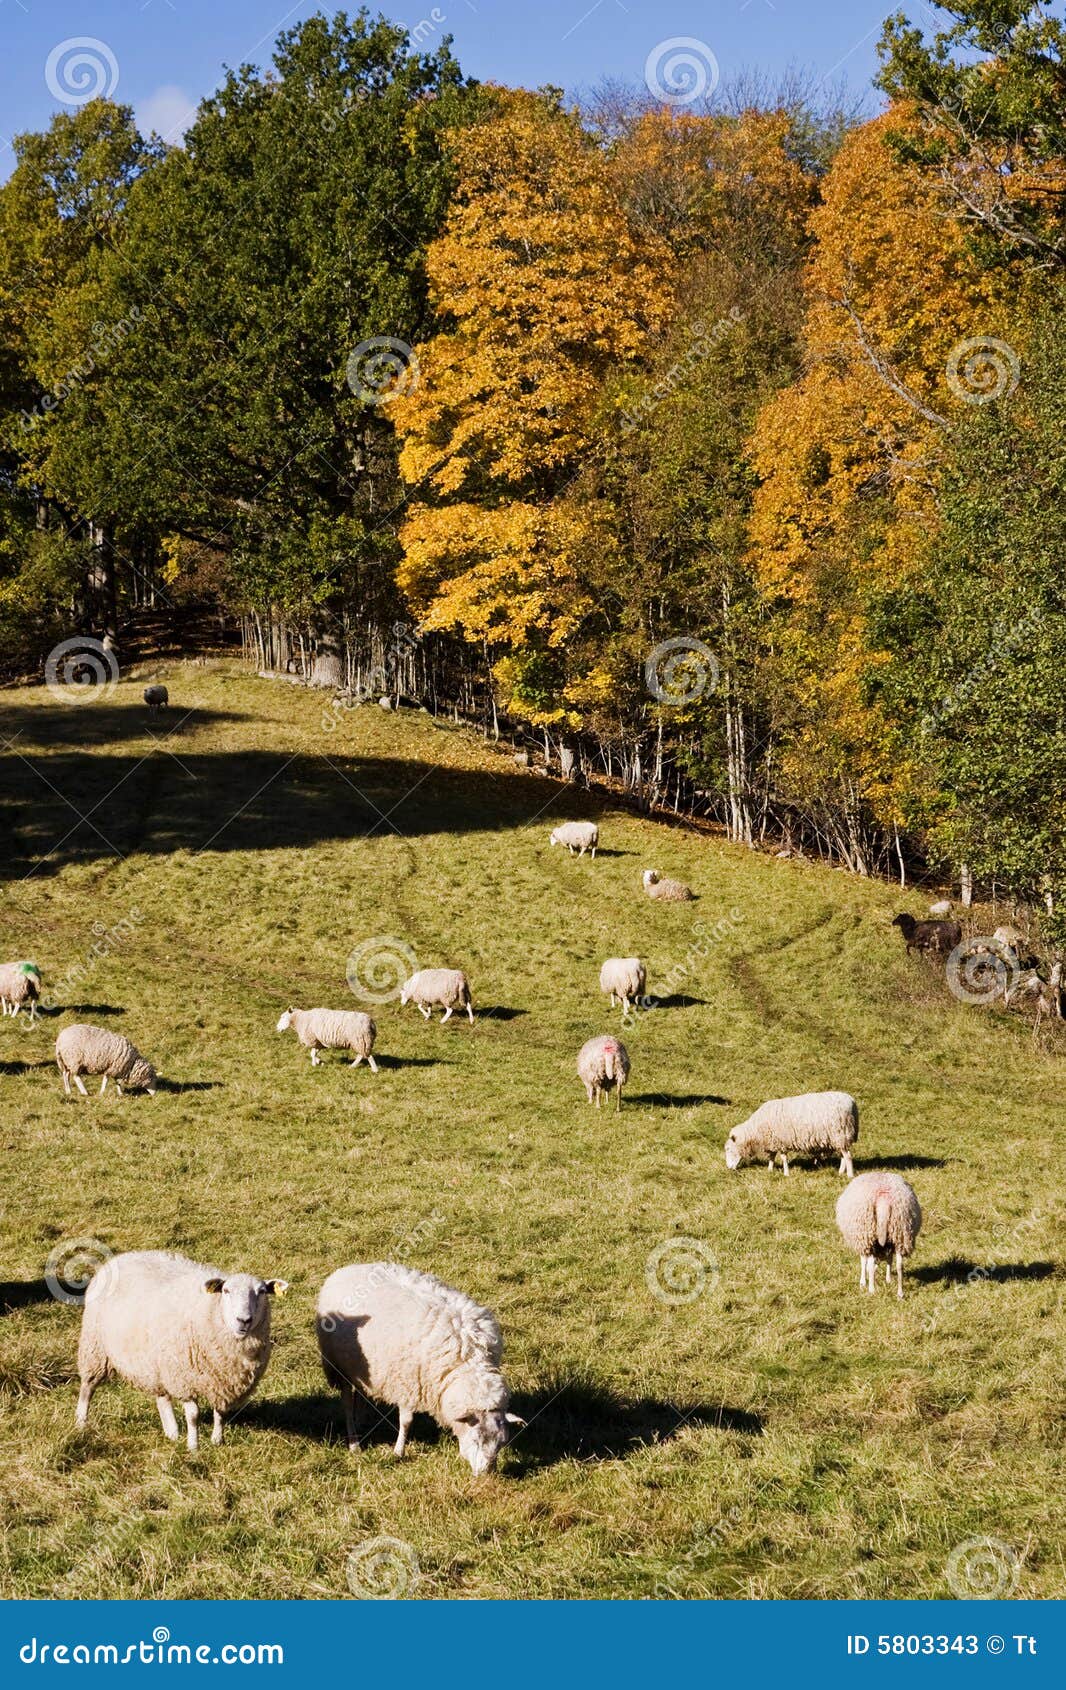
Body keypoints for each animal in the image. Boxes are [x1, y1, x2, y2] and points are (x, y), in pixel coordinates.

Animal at [76, 1250, 288, 1450]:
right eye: (226, 1290)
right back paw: (81, 1422)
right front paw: (193, 1446)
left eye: (262, 1291)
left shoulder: (221, 1380)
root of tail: (120, 1258)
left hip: (156, 1360)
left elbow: (220, 1413)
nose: (243, 1320)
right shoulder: (184, 1377)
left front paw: (217, 1441)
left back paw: (172, 1432)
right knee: (88, 1386)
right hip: (94, 1347)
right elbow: (193, 1415)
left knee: (161, 1397)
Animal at [316, 1261, 524, 1474]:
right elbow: (406, 1421)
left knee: (361, 1392)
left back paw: (361, 1420)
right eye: (476, 1440)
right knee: (347, 1403)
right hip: (339, 1367)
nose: (486, 1474)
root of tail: (345, 1269)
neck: (468, 1363)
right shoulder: (407, 1383)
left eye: (501, 1444)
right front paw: (398, 1451)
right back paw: (354, 1442)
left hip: (361, 1367)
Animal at [724, 1090, 858, 1178]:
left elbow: (783, 1158)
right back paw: (841, 1172)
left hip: (840, 1132)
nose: (729, 1168)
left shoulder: (780, 1141)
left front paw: (786, 1173)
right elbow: (771, 1157)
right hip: (840, 1138)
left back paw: (850, 1175)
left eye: (728, 1149)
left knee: (848, 1156)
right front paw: (770, 1170)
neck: (755, 1130)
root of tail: (852, 1102)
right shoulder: (773, 1141)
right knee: (843, 1156)